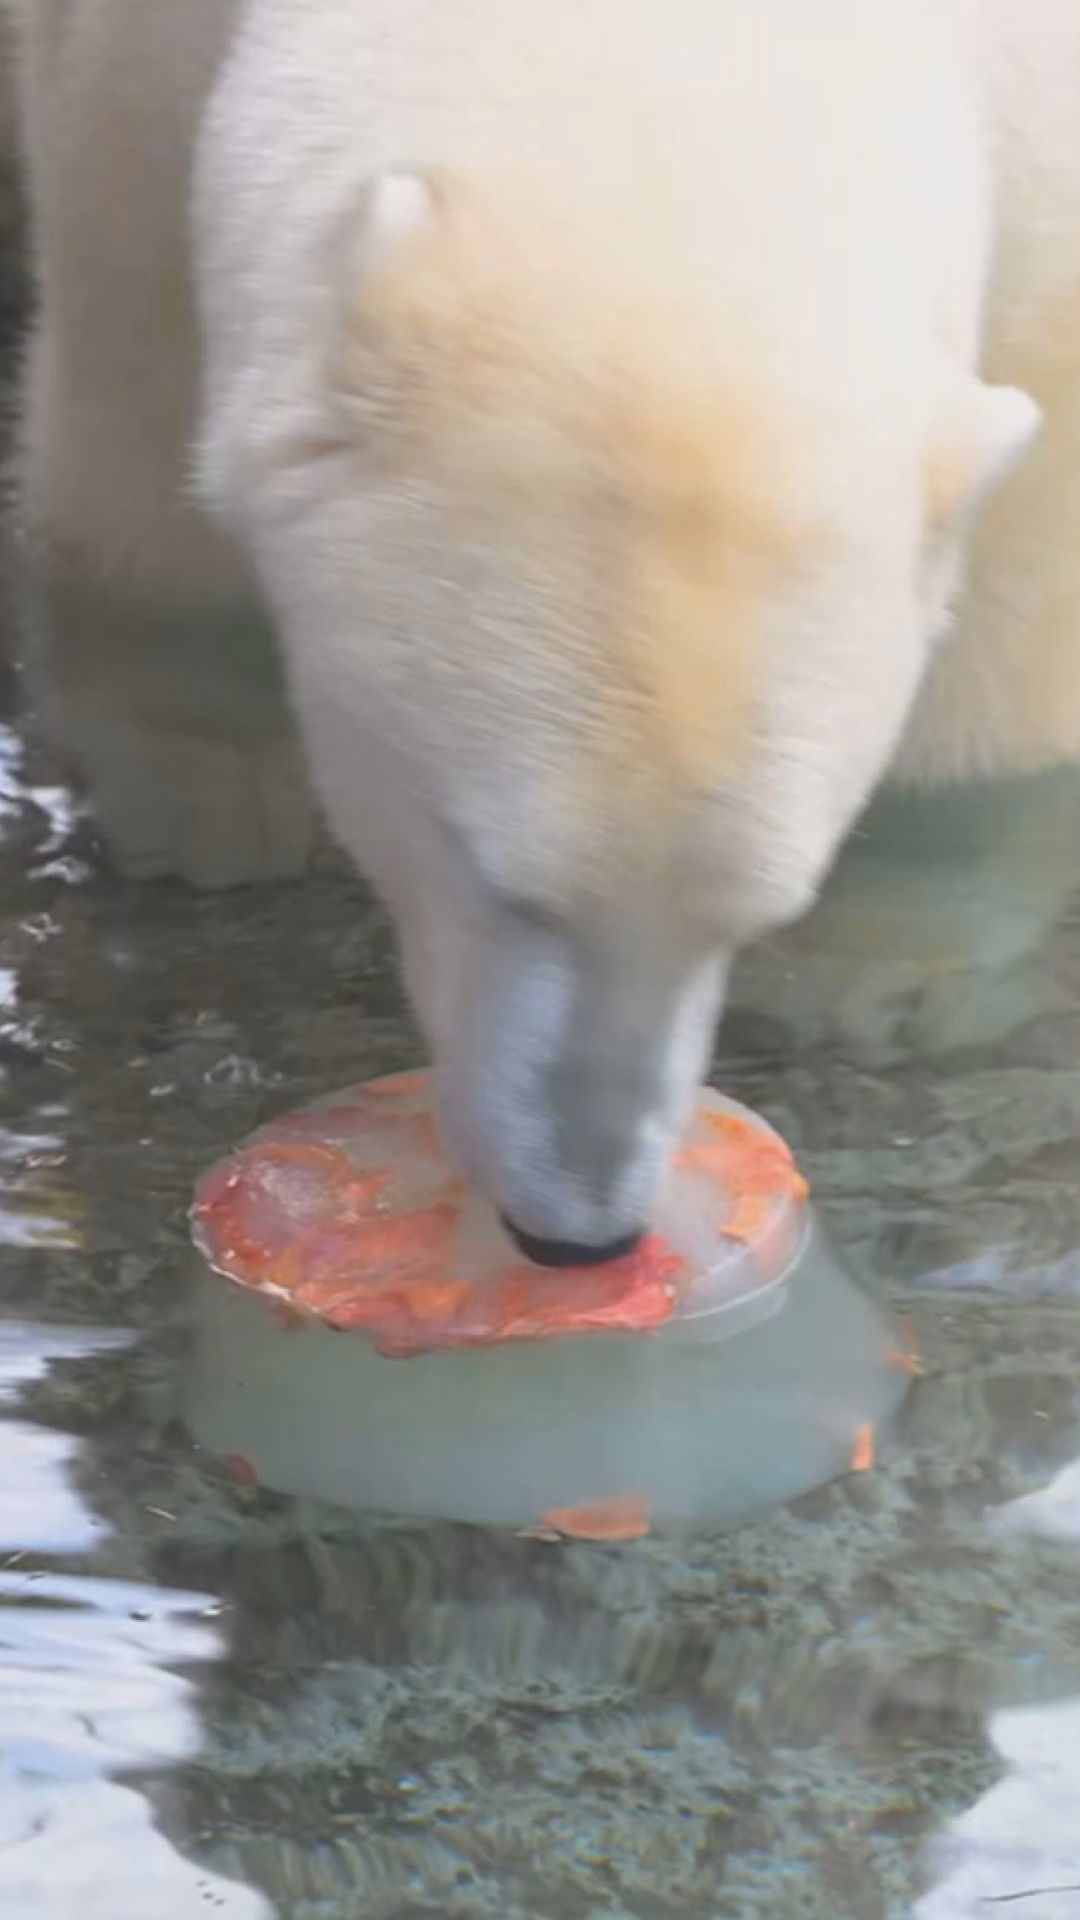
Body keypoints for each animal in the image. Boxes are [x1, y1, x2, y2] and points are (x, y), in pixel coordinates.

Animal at [11, 0, 1080, 1262]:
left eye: (762, 908)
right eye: (496, 876)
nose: (579, 1230)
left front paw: (892, 971)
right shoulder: (129, 57)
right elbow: (136, 317)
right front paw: (206, 788)